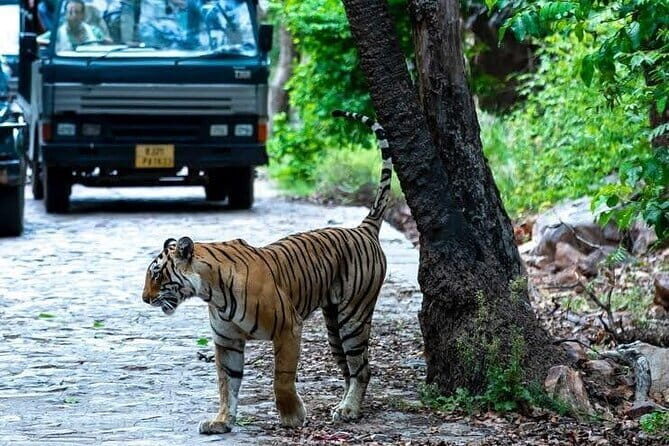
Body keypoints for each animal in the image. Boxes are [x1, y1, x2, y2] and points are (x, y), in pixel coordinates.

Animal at [141, 110, 393, 434]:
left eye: (156, 275)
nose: (145, 298)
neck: (211, 292)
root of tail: (363, 228)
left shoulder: (289, 327)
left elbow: (281, 378)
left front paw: (292, 417)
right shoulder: (227, 342)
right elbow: (226, 383)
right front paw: (221, 421)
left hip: (354, 315)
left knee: (362, 367)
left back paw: (348, 410)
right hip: (334, 323)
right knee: (351, 368)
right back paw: (346, 405)